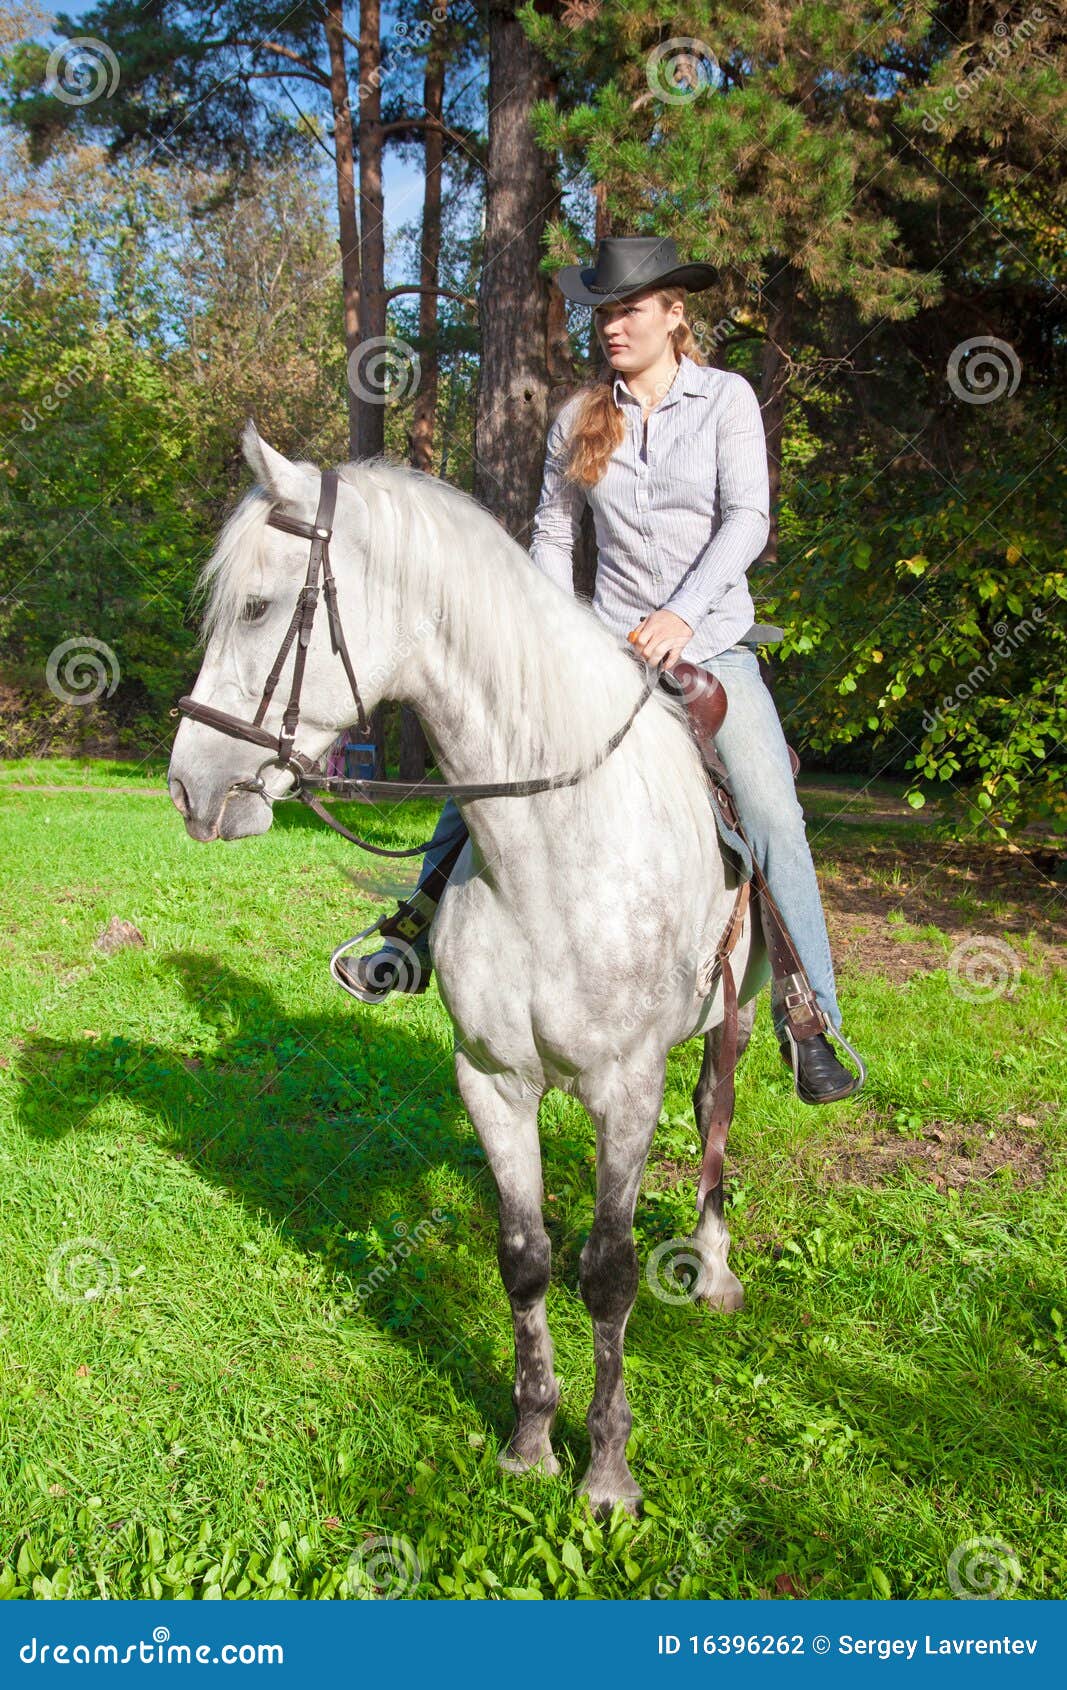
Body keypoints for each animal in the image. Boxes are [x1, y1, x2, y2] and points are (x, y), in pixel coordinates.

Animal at [167, 422, 769, 1517]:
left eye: (260, 606)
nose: (190, 787)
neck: (554, 848)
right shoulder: (489, 1080)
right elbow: (525, 1259)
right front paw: (530, 1440)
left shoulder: (628, 1088)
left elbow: (608, 1273)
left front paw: (606, 1471)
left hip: (730, 1025)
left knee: (714, 1121)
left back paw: (710, 1271)